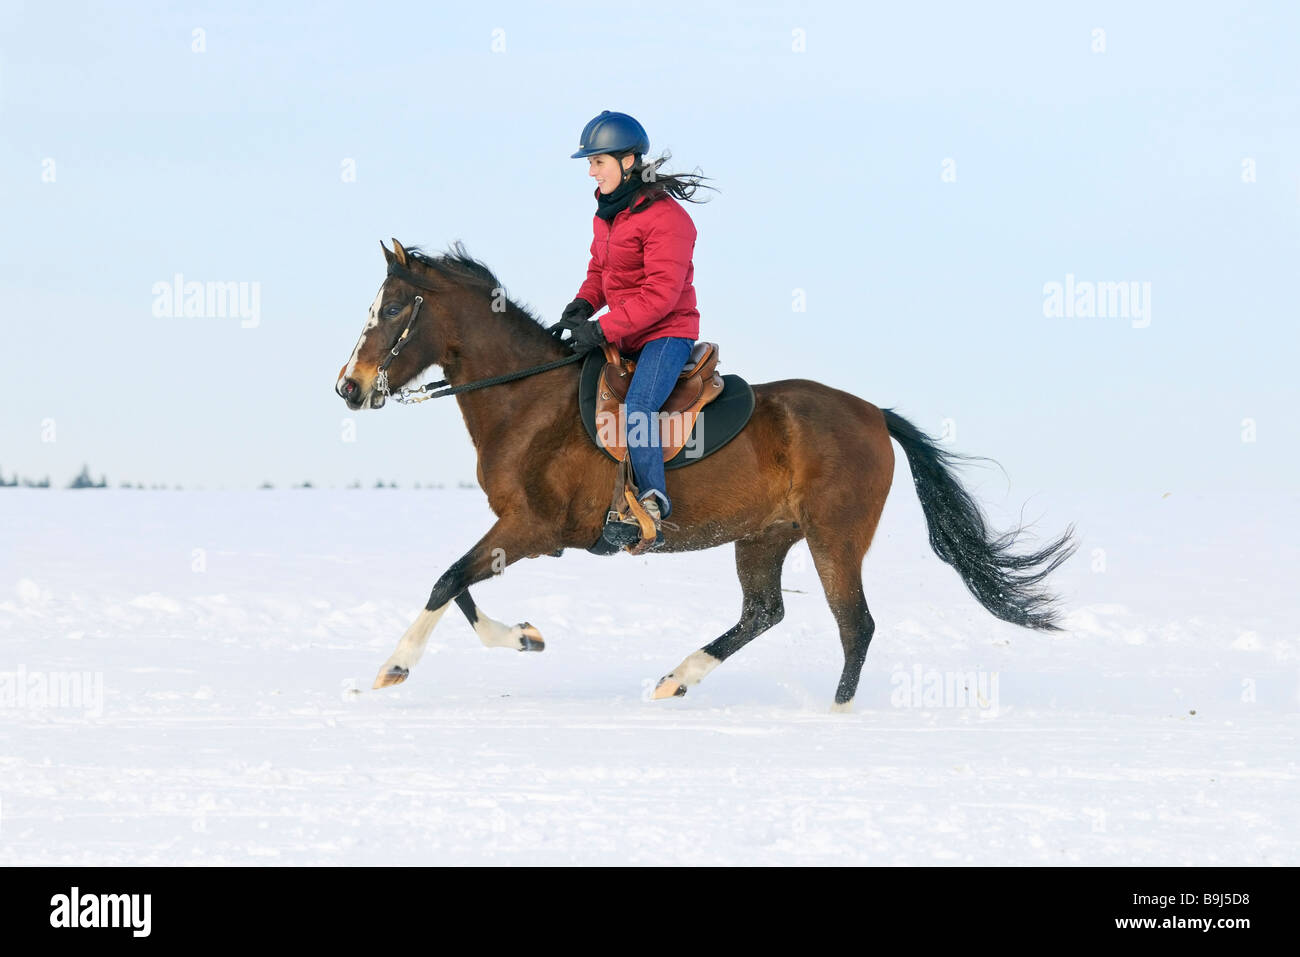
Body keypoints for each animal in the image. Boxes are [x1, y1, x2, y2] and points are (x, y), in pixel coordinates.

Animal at [335, 239, 1077, 711]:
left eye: (394, 310)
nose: (349, 386)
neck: (528, 399)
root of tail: (873, 414)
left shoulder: (534, 528)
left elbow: (446, 580)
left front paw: (392, 668)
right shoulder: (516, 530)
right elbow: (456, 585)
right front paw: (524, 636)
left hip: (834, 536)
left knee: (855, 626)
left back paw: (833, 716)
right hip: (765, 536)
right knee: (764, 612)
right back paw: (676, 679)